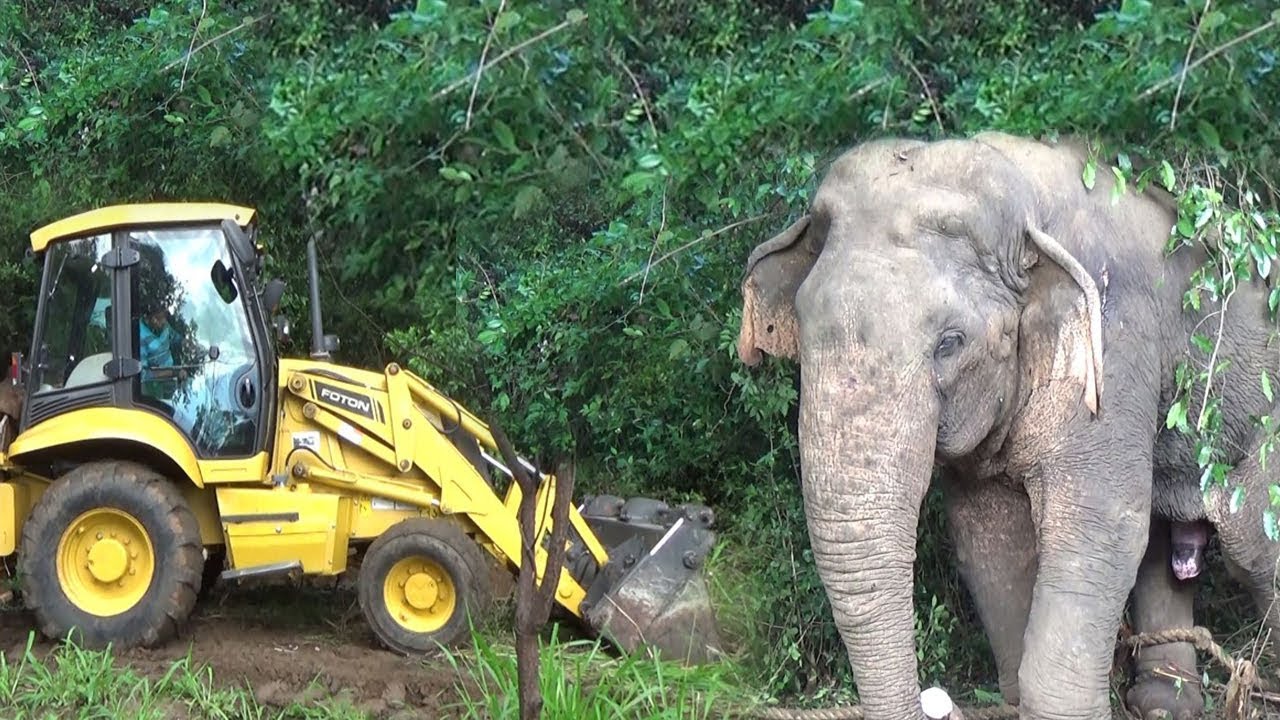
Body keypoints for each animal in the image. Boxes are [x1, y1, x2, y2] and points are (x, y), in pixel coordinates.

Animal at [735, 131, 1280, 720]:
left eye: (950, 343)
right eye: (801, 324)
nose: (936, 699)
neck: (1022, 196)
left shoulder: (1116, 344)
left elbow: (1100, 524)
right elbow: (988, 538)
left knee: (1254, 546)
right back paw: (1164, 705)